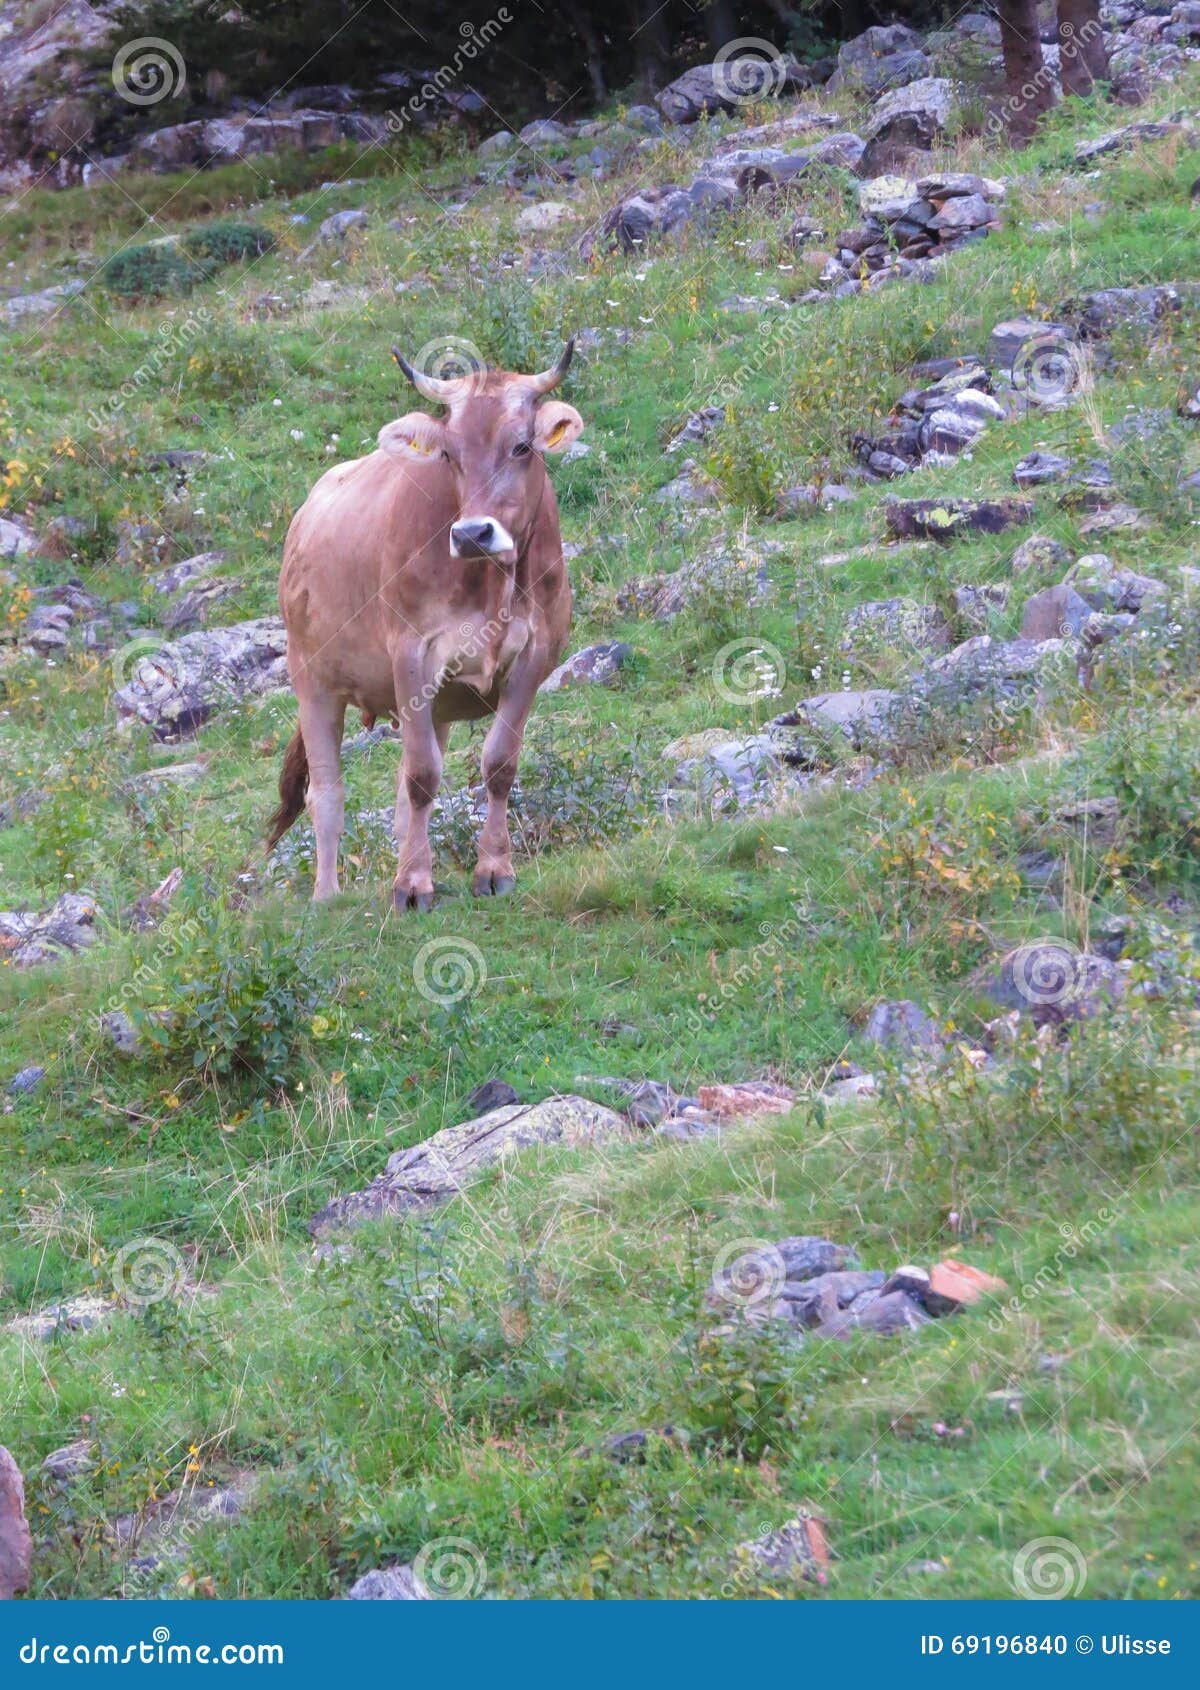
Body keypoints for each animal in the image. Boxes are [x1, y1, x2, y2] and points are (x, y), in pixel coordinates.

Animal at [266, 340, 583, 910]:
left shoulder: (535, 656)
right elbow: (420, 776)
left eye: (522, 446)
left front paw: (493, 870)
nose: (473, 533)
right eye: (448, 454)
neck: (492, 583)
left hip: (431, 705)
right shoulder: (411, 654)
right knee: (326, 792)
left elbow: (497, 765)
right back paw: (327, 897)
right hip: (312, 680)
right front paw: (412, 885)